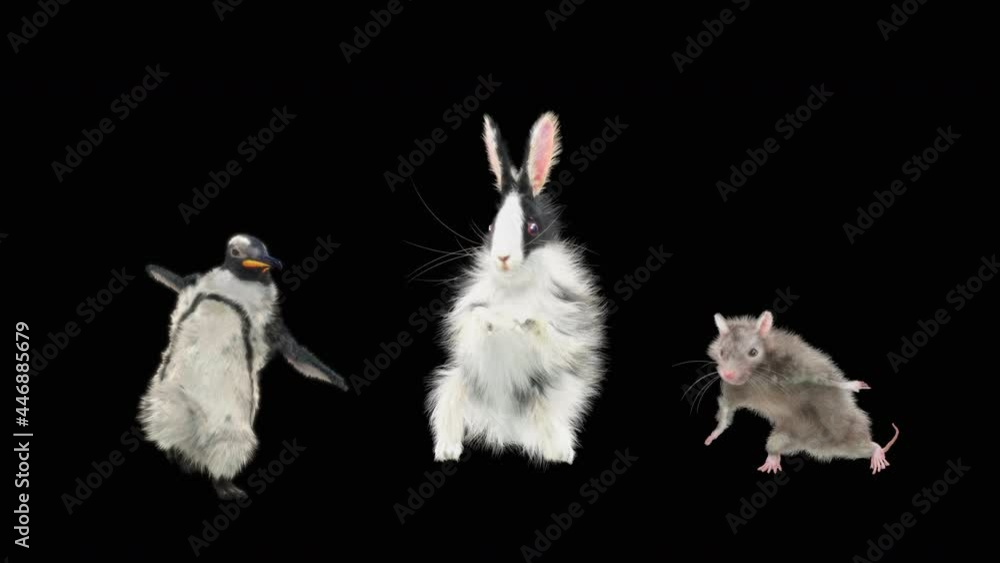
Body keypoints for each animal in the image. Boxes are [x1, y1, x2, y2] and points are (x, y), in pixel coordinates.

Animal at [427, 112, 607, 464]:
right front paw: (494, 321)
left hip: (548, 397)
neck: (514, 288)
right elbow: (477, 320)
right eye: (491, 227)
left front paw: (522, 323)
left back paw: (560, 453)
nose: (503, 257)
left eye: (532, 227)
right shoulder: (467, 320)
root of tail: (503, 427)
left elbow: (545, 331)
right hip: (454, 386)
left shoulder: (565, 324)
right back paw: (447, 451)